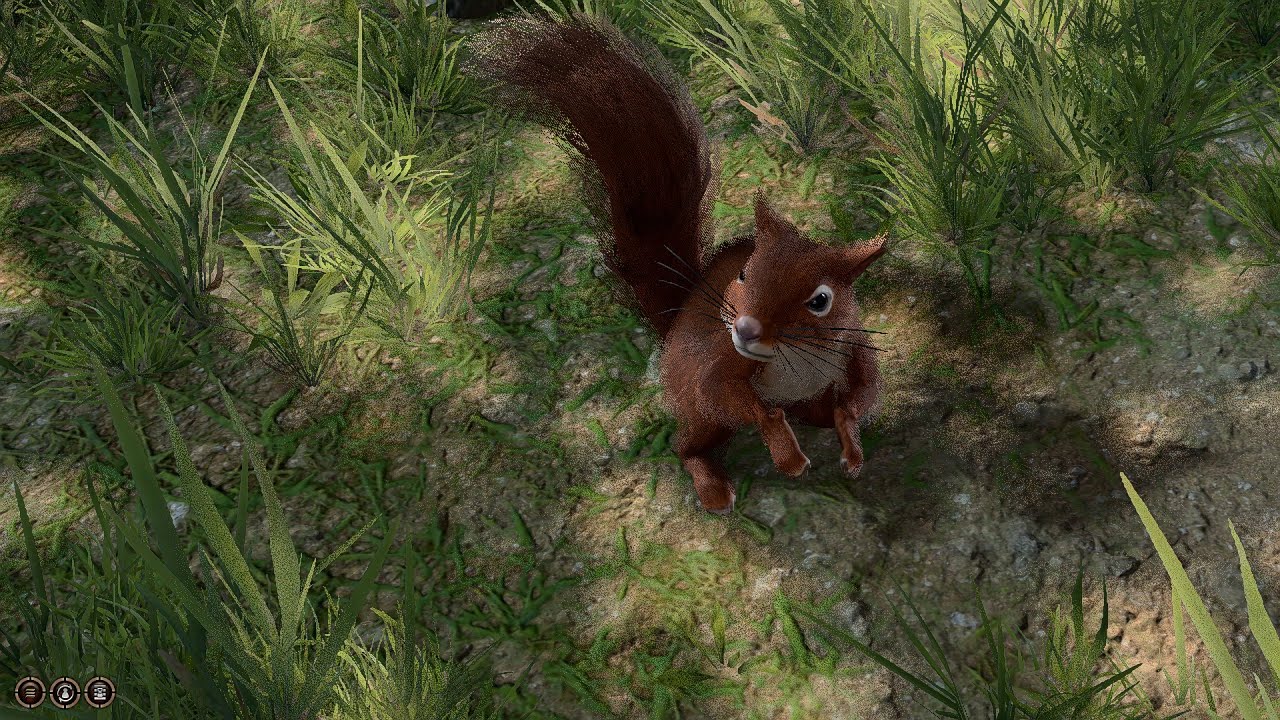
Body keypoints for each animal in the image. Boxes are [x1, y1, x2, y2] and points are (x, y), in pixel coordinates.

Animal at [473, 16, 887, 514]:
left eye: (821, 301)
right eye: (743, 273)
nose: (746, 329)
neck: (795, 360)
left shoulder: (855, 346)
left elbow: (859, 398)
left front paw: (854, 451)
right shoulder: (723, 364)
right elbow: (732, 397)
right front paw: (788, 458)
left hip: (805, 401)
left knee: (818, 413)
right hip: (695, 408)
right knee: (689, 445)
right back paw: (713, 487)